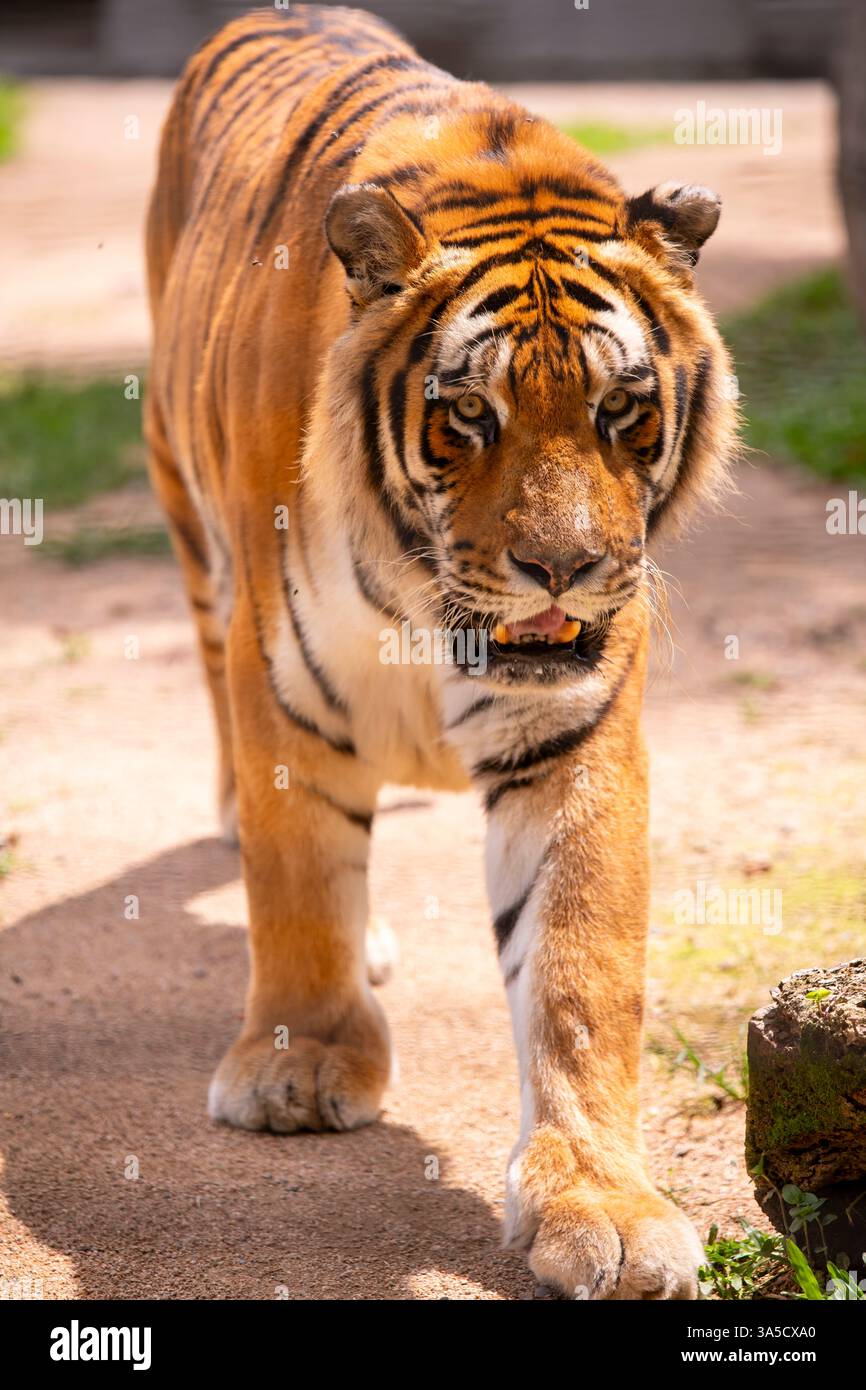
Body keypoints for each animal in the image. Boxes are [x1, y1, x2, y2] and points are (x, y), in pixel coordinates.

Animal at [145, 4, 737, 1299]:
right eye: (468, 414)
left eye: (622, 411)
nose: (563, 568)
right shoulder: (280, 679)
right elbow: (298, 874)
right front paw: (300, 1071)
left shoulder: (574, 736)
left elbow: (577, 970)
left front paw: (602, 1205)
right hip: (188, 520)